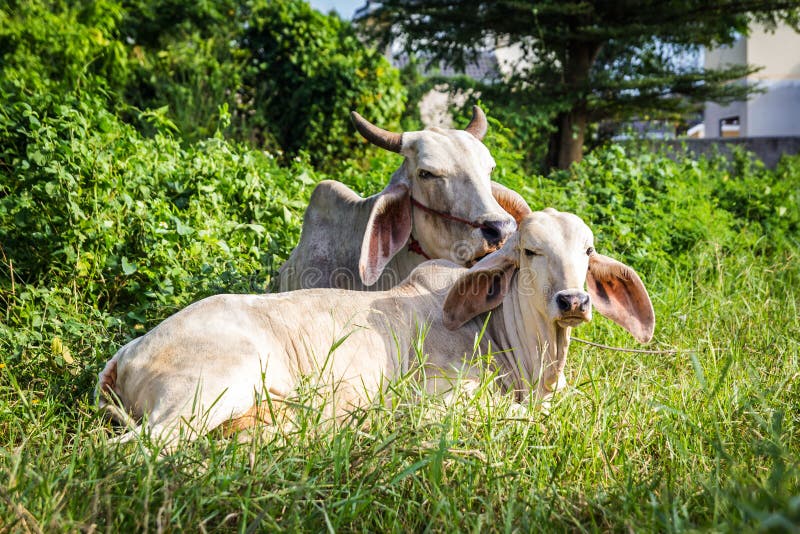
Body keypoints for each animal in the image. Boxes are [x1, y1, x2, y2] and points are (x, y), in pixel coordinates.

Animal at [97, 208, 655, 448]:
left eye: (587, 251)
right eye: (531, 251)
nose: (574, 300)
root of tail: (128, 352)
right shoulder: (437, 399)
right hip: (212, 388)